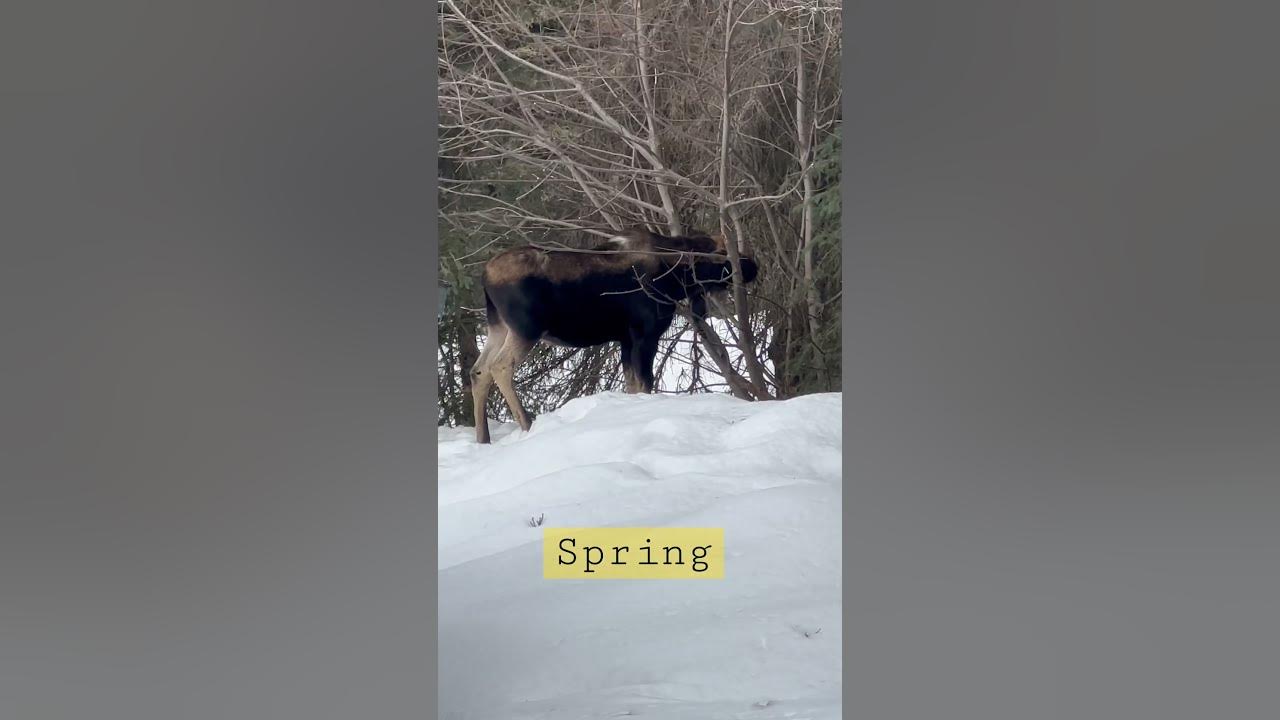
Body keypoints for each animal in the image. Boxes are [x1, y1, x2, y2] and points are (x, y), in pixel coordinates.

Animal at [469, 228, 759, 443]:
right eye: (722, 254)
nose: (753, 266)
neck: (677, 278)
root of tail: (484, 276)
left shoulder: (626, 339)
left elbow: (631, 384)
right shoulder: (645, 333)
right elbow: (645, 382)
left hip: (498, 326)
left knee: (478, 370)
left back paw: (483, 438)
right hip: (526, 328)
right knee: (500, 366)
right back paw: (526, 423)